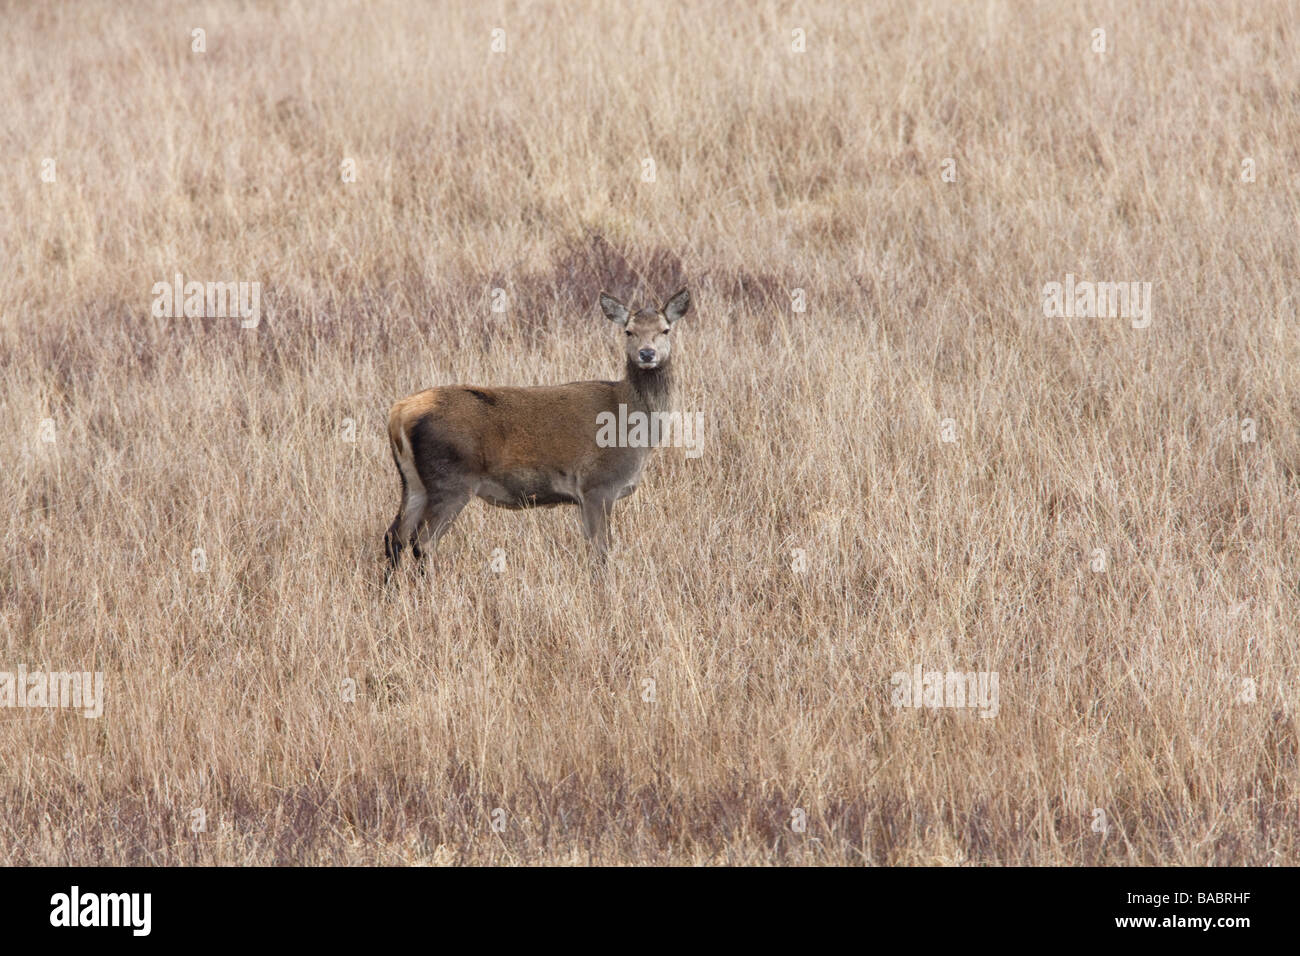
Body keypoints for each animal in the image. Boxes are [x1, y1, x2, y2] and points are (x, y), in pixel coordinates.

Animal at [383, 287, 690, 578]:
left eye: (665, 329)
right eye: (629, 331)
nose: (647, 353)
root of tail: (399, 413)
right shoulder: (598, 484)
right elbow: (600, 551)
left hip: (413, 482)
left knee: (394, 536)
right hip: (451, 481)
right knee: (422, 541)